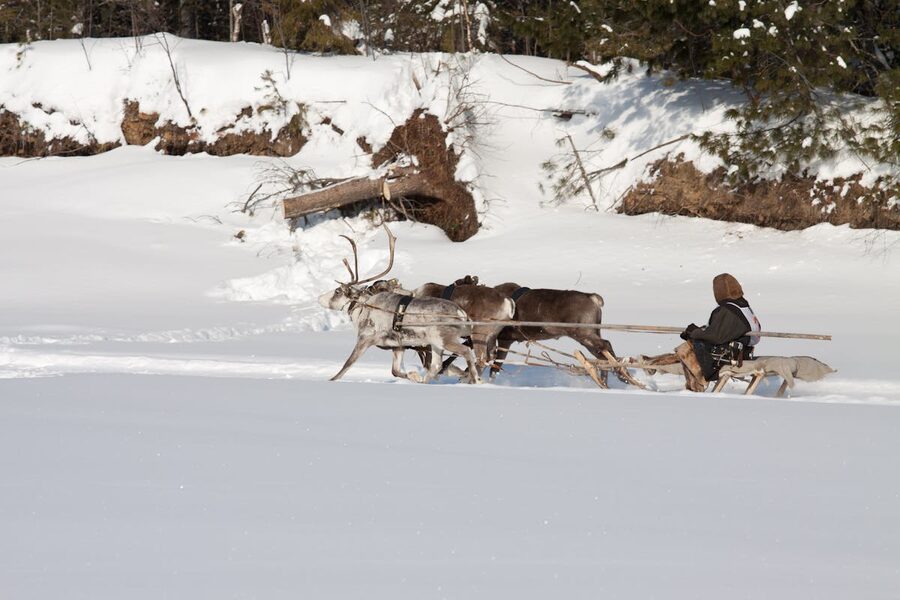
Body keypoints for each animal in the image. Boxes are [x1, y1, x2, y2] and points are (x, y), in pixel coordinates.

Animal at [318, 225, 482, 384]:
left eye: (337, 291)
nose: (319, 298)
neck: (363, 308)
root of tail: (462, 313)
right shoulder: (399, 346)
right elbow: (395, 371)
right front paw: (414, 376)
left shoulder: (365, 338)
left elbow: (346, 365)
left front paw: (331, 380)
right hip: (436, 344)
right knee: (437, 366)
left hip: (444, 339)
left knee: (465, 352)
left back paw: (475, 380)